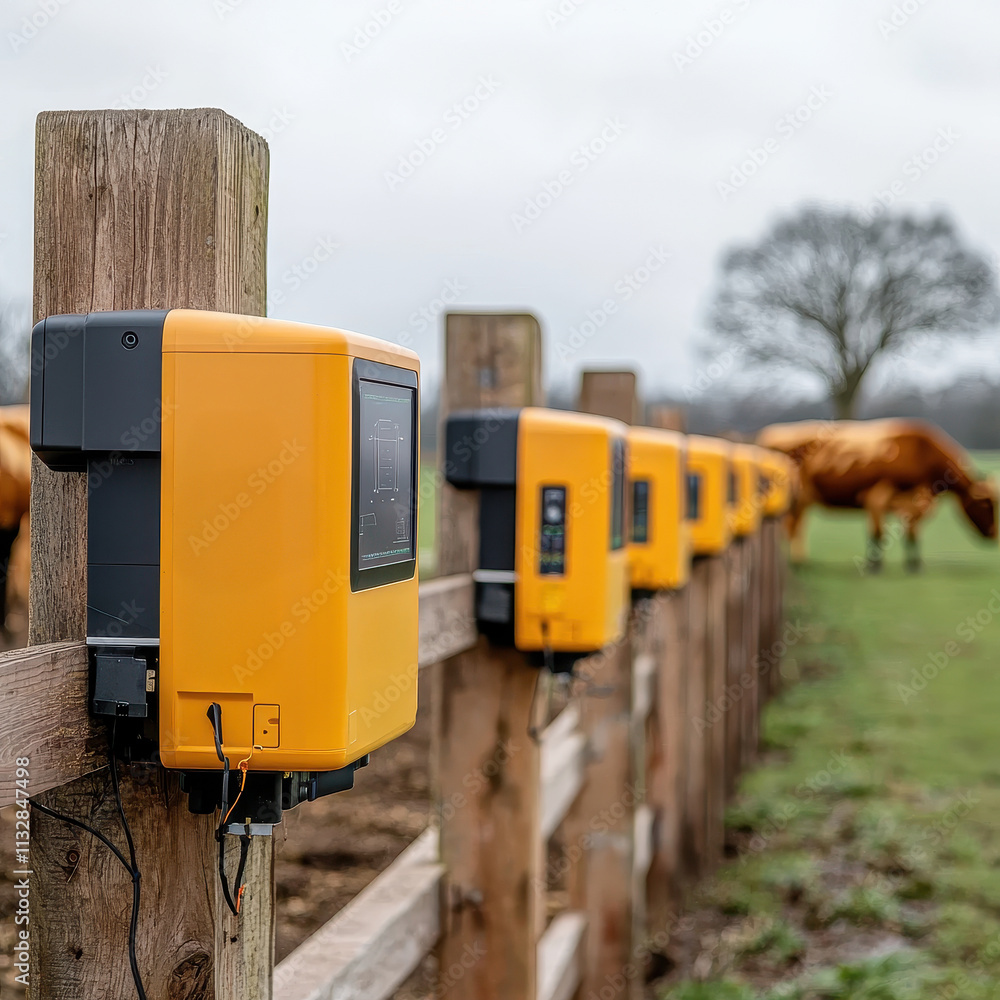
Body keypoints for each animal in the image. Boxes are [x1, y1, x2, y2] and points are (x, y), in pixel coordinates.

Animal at [757, 418, 997, 571]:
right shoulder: (878, 494)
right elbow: (877, 533)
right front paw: (874, 566)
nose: (995, 534)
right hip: (797, 499)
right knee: (792, 528)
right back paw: (796, 563)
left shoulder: (912, 502)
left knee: (796, 527)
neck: (920, 452)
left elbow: (912, 534)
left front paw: (914, 565)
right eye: (986, 504)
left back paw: (801, 561)